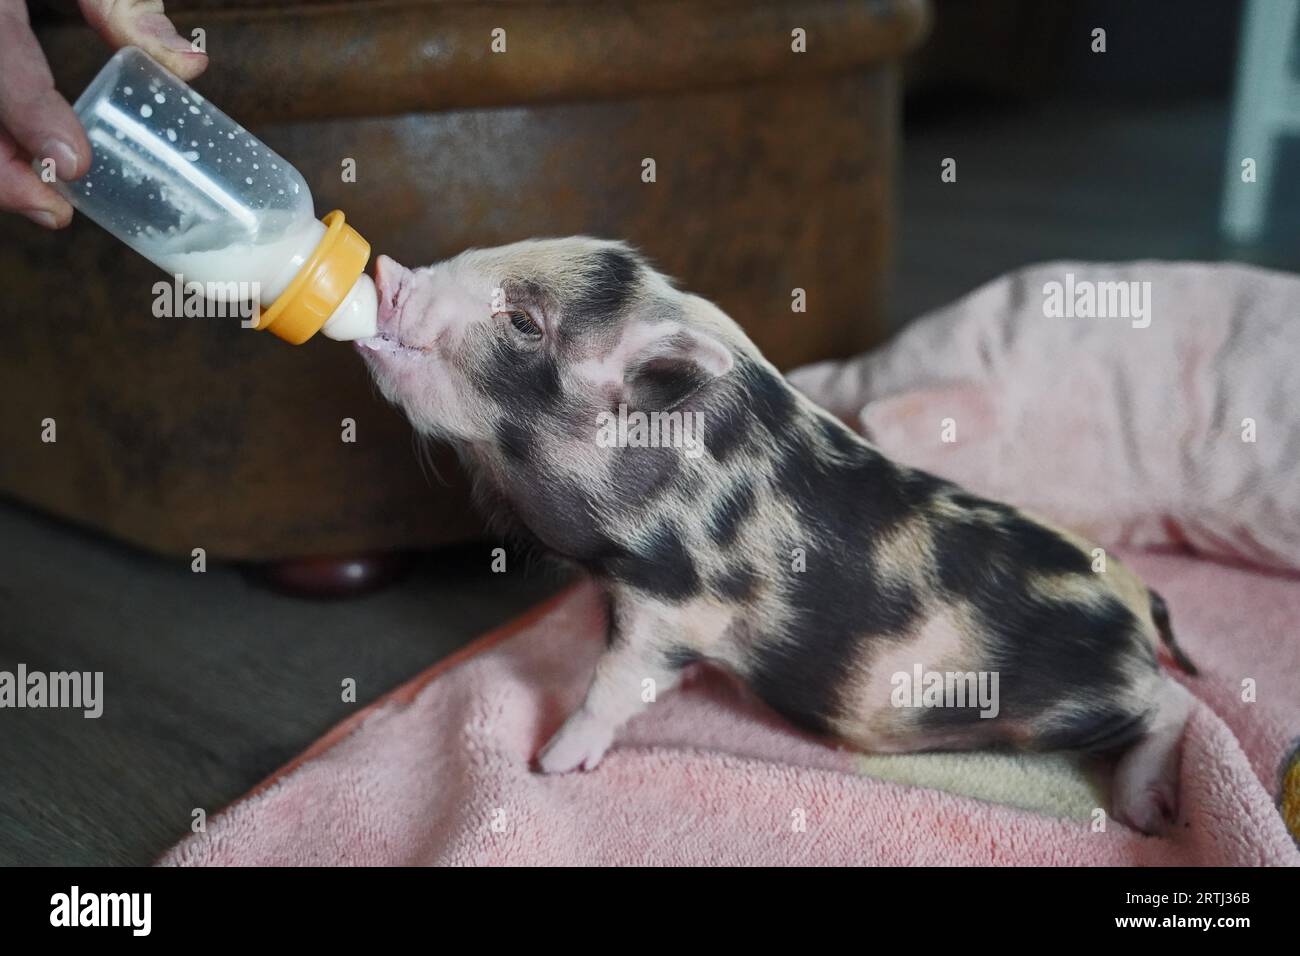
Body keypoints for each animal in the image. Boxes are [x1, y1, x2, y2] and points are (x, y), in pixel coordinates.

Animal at [358, 238, 1199, 835]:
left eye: (526, 324)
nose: (386, 267)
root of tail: (1136, 600)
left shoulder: (674, 604)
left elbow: (614, 686)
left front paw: (549, 763)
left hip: (1074, 702)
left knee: (1178, 706)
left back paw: (1147, 815)